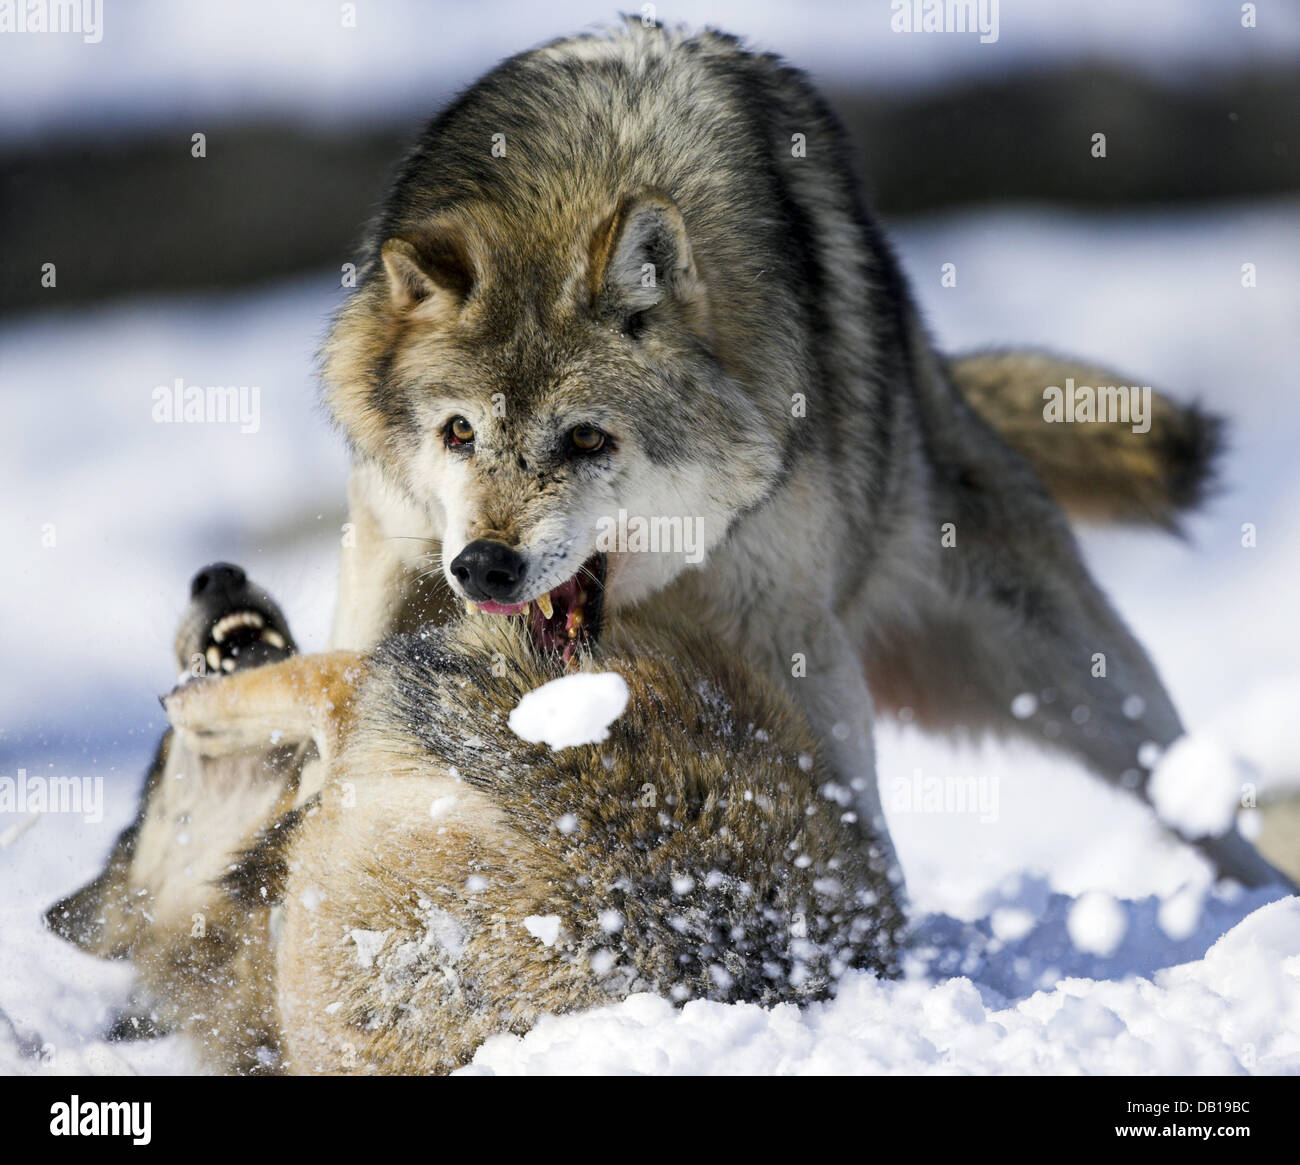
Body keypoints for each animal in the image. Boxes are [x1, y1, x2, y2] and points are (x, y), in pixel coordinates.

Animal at [318, 21, 1287, 890]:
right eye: (458, 433)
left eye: (586, 437)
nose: (484, 566)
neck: (587, 173)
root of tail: (933, 378)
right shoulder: (394, 551)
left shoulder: (788, 633)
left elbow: (853, 809)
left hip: (1076, 676)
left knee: (1196, 798)